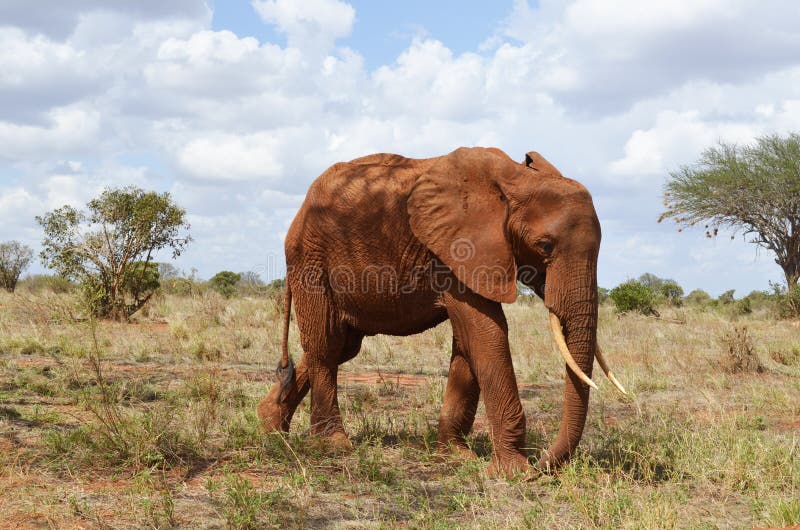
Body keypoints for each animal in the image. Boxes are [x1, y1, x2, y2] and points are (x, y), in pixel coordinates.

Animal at [257, 146, 625, 477]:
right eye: (544, 246)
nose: (542, 467)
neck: (514, 181)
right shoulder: (456, 251)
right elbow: (486, 331)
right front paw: (512, 473)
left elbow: (467, 341)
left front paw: (455, 457)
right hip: (310, 259)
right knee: (327, 344)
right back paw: (331, 445)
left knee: (342, 346)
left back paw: (270, 426)